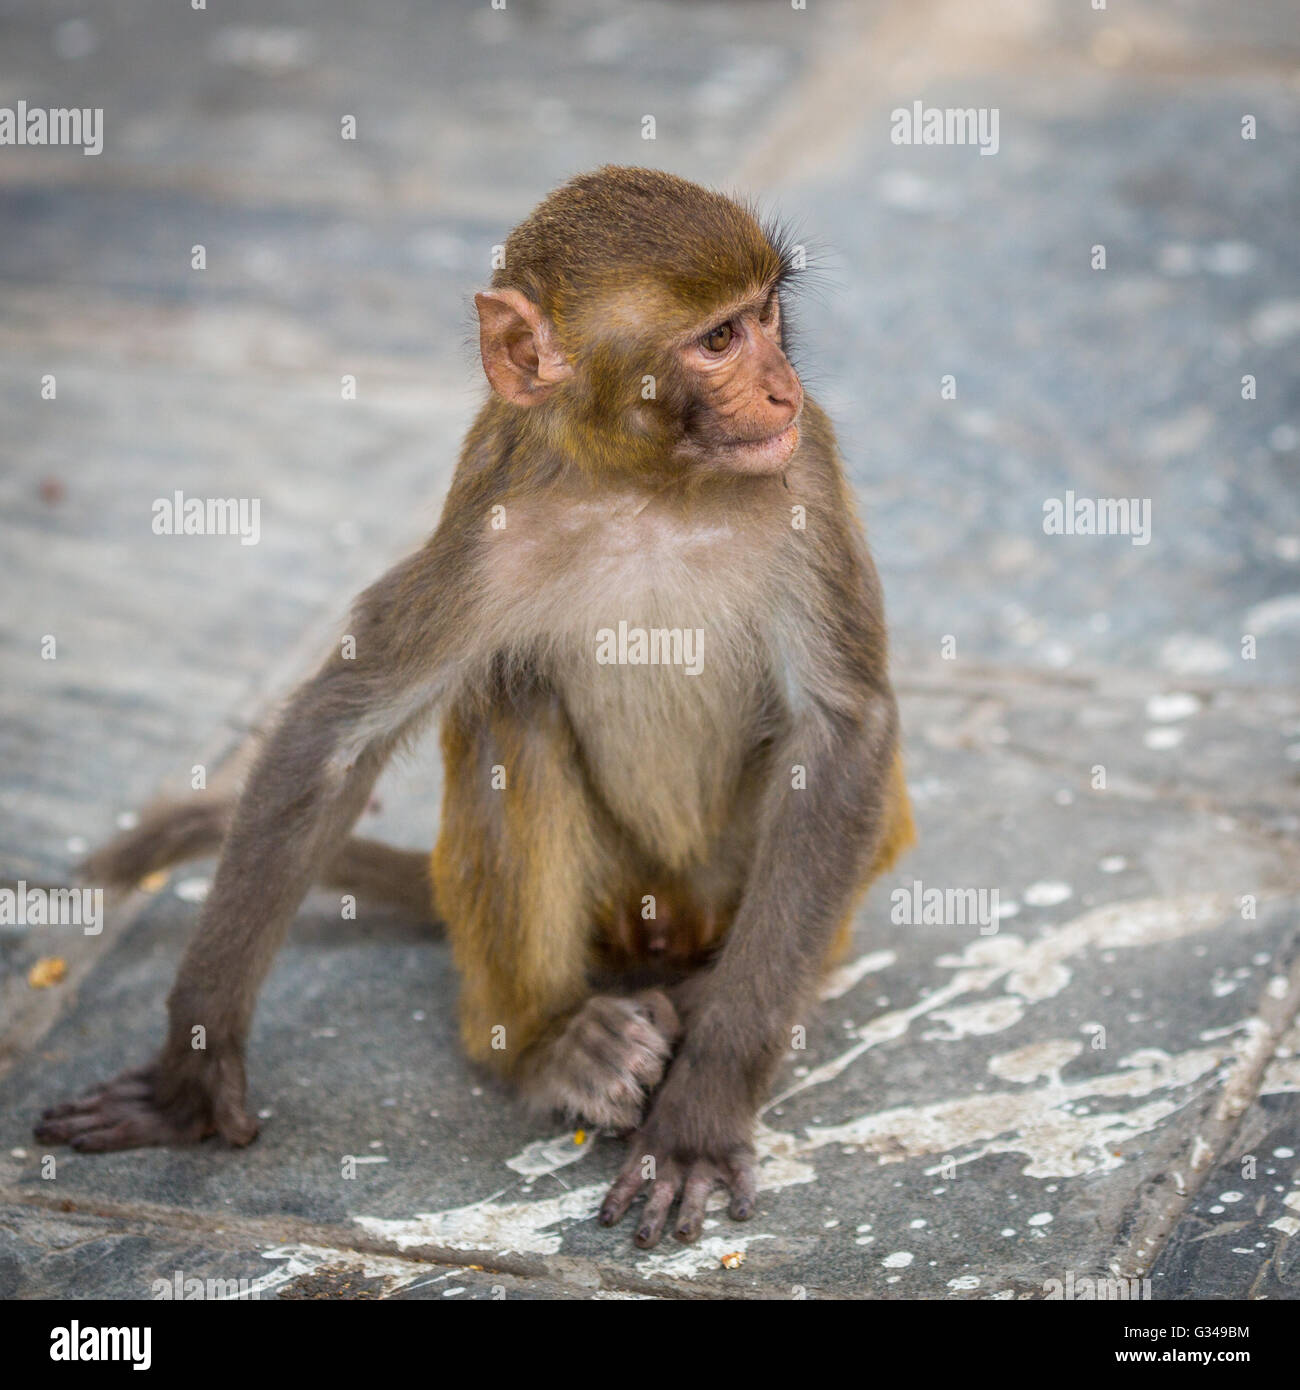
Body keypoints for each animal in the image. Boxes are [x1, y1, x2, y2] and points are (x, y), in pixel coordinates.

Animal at [37, 166, 915, 1250]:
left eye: (765, 317)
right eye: (717, 341)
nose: (783, 387)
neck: (650, 488)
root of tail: (661, 925)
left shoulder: (806, 474)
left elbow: (841, 737)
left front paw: (702, 1116)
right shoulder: (486, 514)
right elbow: (337, 733)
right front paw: (189, 1084)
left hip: (730, 893)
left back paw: (697, 996)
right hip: (609, 897)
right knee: (510, 702)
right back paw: (549, 1044)